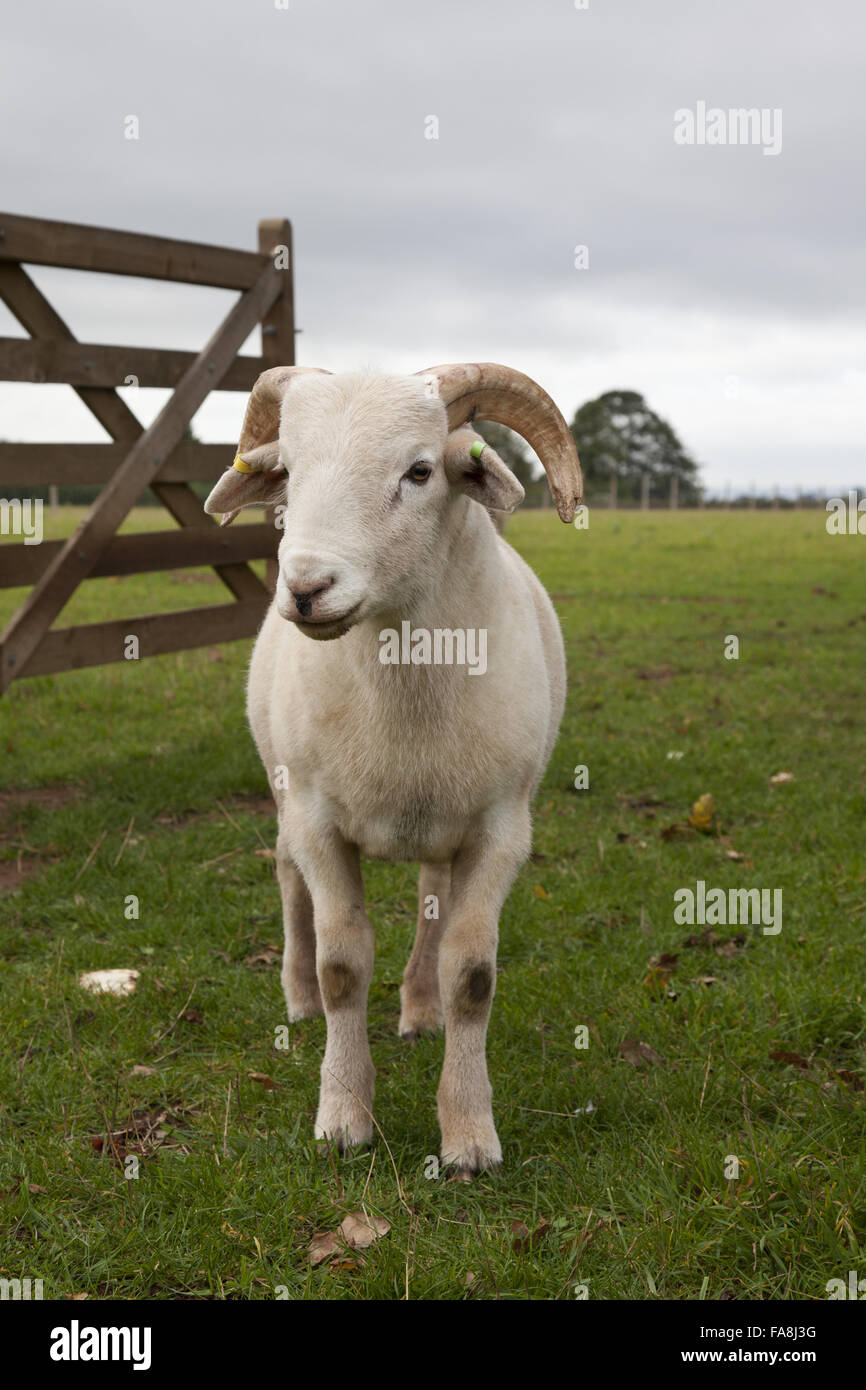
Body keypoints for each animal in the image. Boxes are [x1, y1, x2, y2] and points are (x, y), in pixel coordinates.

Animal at [204, 362, 582, 1175]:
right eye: (289, 473)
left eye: (420, 471)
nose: (306, 588)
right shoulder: (318, 822)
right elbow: (342, 965)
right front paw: (344, 1116)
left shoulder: (501, 829)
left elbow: (471, 975)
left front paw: (469, 1135)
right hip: (283, 792)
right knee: (286, 877)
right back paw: (297, 998)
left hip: (444, 820)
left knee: (431, 900)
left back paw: (419, 1006)